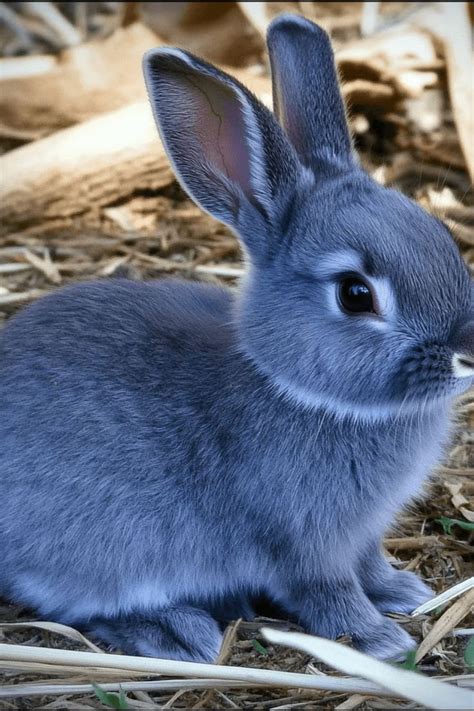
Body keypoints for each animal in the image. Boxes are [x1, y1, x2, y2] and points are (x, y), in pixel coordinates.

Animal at [0, 13, 473, 663]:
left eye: (442, 235)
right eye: (355, 294)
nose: (468, 351)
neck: (296, 388)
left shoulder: (361, 536)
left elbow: (371, 566)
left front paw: (403, 591)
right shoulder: (304, 544)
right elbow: (328, 593)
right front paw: (379, 640)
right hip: (107, 546)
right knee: (83, 604)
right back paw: (180, 632)